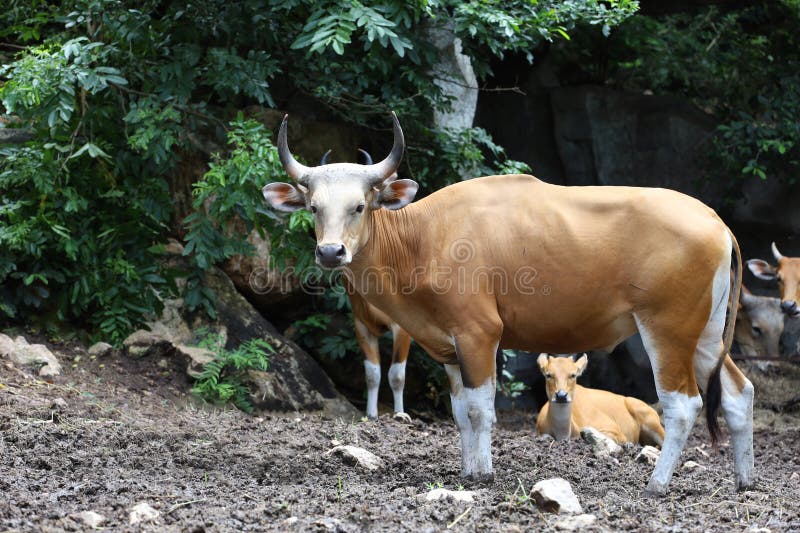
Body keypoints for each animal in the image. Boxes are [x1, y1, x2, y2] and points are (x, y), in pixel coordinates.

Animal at [322, 149, 414, 421]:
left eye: (360, 206)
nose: (331, 252)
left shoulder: (402, 327)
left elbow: (397, 375)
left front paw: (399, 414)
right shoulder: (361, 324)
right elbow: (372, 374)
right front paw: (371, 414)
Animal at [536, 353, 665, 446]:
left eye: (573, 375)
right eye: (548, 375)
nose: (561, 395)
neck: (563, 433)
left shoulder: (614, 429)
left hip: (649, 418)